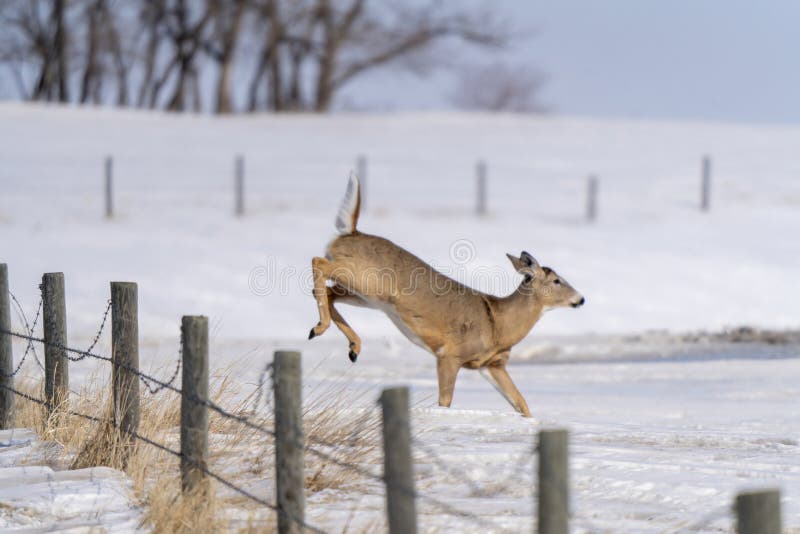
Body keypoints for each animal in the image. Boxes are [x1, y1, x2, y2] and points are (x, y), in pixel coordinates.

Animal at [308, 175, 584, 417]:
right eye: (557, 280)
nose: (580, 299)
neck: (499, 324)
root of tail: (351, 232)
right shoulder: (450, 354)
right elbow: (445, 402)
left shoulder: (491, 364)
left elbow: (521, 403)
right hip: (365, 280)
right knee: (318, 263)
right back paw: (321, 328)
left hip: (368, 296)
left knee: (329, 292)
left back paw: (349, 346)